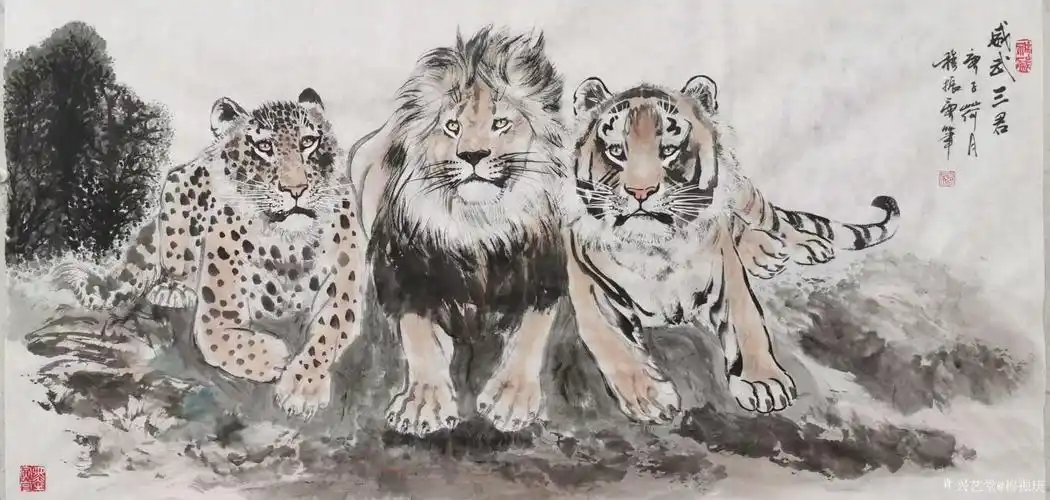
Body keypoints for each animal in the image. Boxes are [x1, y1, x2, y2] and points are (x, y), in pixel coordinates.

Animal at [50, 89, 368, 419]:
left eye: (308, 142)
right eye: (264, 147)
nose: (296, 189)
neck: (287, 245)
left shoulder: (343, 285)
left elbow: (329, 333)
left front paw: (302, 389)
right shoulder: (217, 314)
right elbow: (219, 340)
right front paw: (275, 356)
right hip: (178, 191)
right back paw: (174, 290)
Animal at [348, 26, 569, 436]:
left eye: (500, 123)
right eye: (452, 127)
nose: (473, 156)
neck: (478, 225)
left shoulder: (544, 277)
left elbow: (531, 332)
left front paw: (511, 399)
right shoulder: (405, 277)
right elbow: (419, 337)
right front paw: (422, 404)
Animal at [562, 74, 900, 422]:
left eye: (669, 150)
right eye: (616, 150)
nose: (640, 191)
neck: (655, 249)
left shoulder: (726, 272)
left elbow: (747, 322)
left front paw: (763, 382)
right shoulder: (591, 287)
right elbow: (613, 344)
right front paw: (649, 396)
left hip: (746, 195)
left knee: (771, 222)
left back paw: (799, 245)